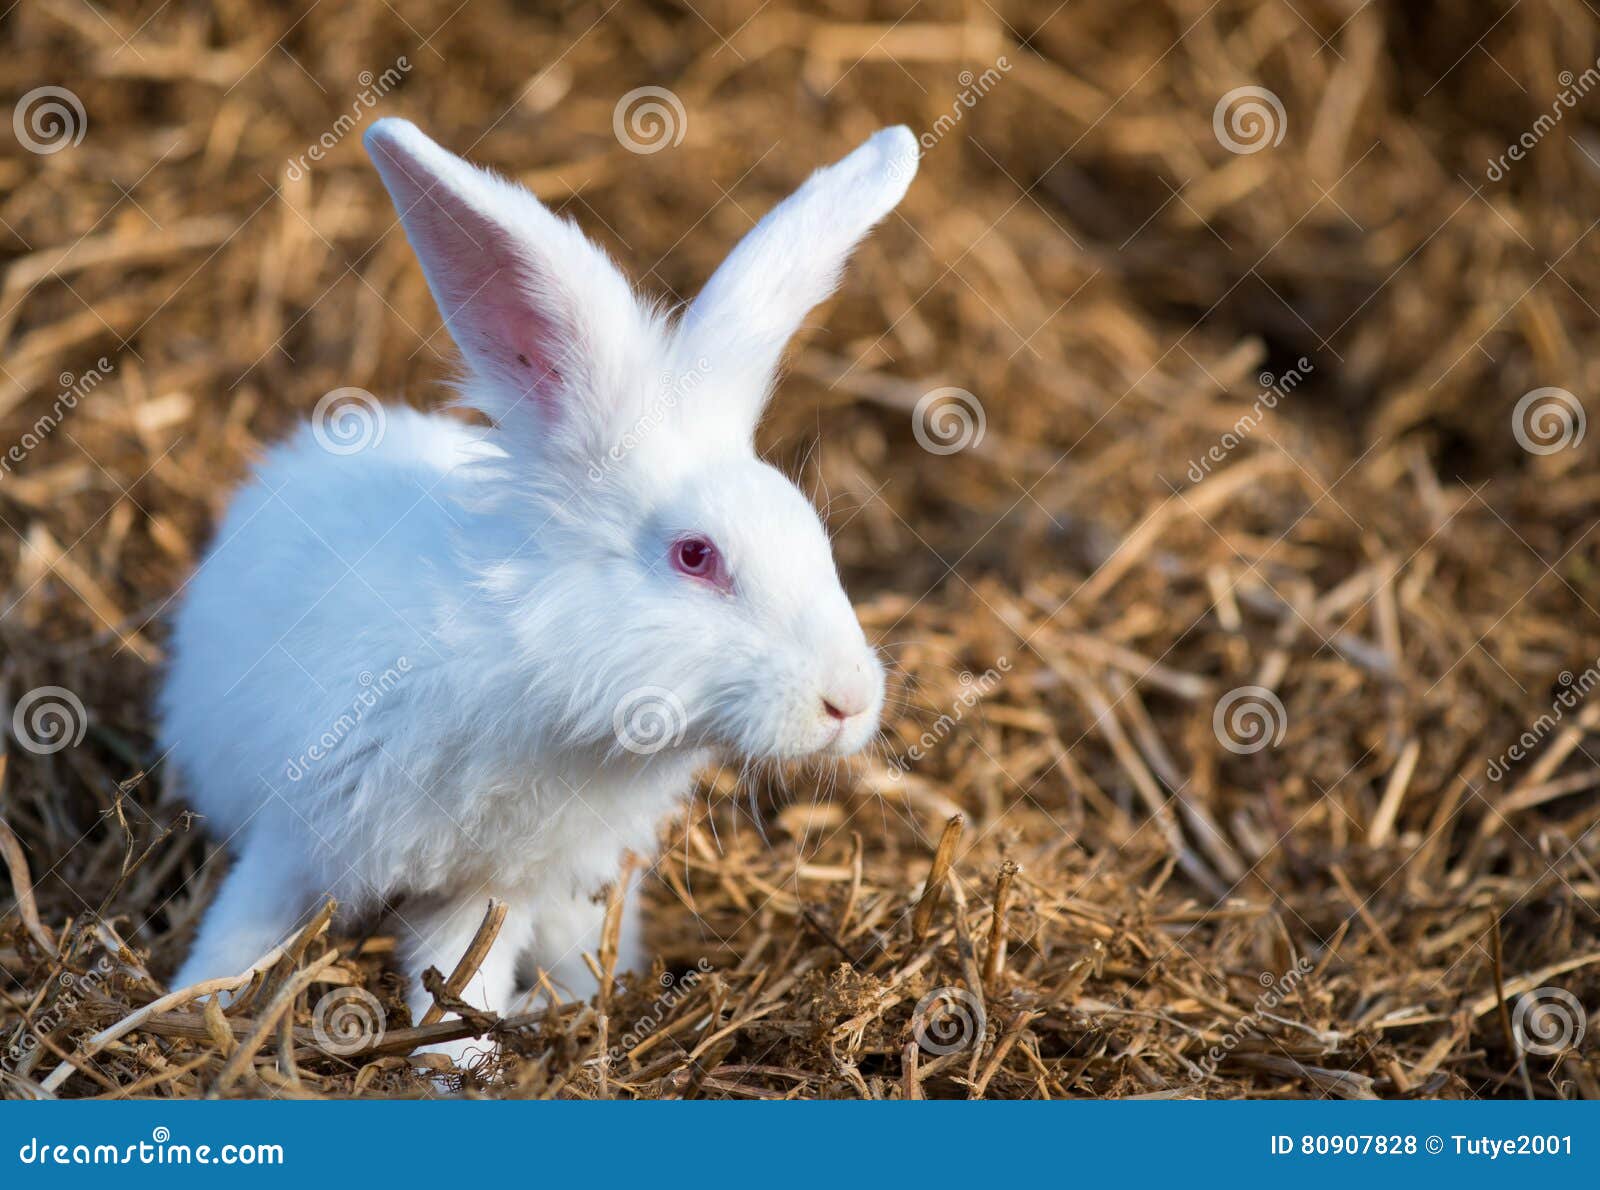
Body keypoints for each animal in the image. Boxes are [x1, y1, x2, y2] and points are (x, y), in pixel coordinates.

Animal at [159, 117, 917, 1068]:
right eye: (695, 556)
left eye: (815, 536)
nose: (849, 702)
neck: (526, 664)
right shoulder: (299, 829)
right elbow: (247, 926)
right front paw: (190, 1005)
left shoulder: (494, 888)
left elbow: (461, 981)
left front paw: (458, 1062)